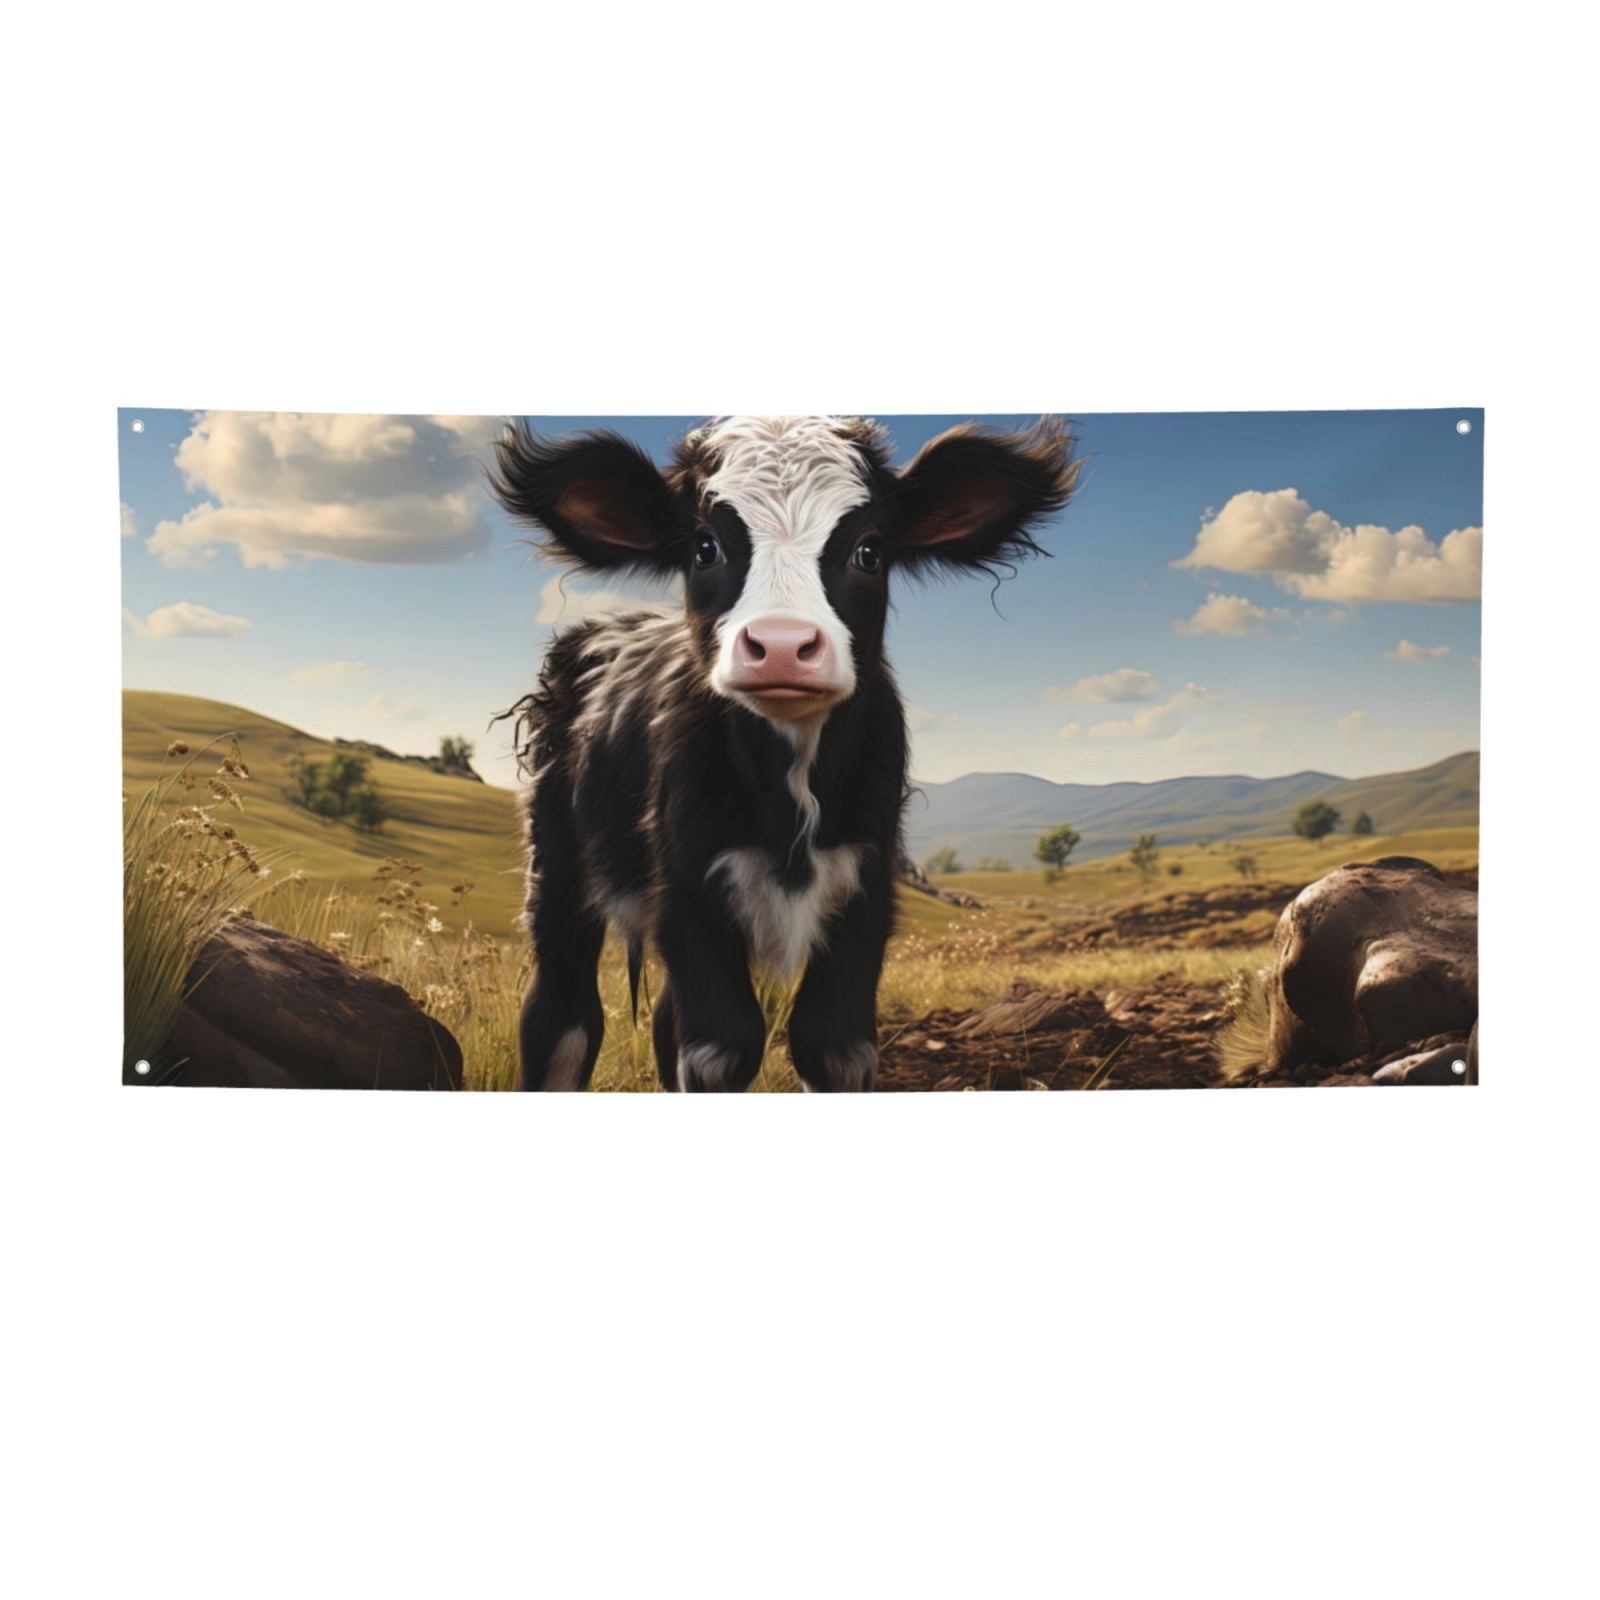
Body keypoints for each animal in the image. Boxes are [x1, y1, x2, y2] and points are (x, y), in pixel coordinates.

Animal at [490, 415, 1079, 1091]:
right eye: (704, 547)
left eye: (870, 551)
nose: (779, 645)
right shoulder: (686, 888)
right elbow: (721, 1046)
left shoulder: (866, 889)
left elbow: (834, 1043)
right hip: (556, 864)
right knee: (562, 1015)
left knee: (661, 1017)